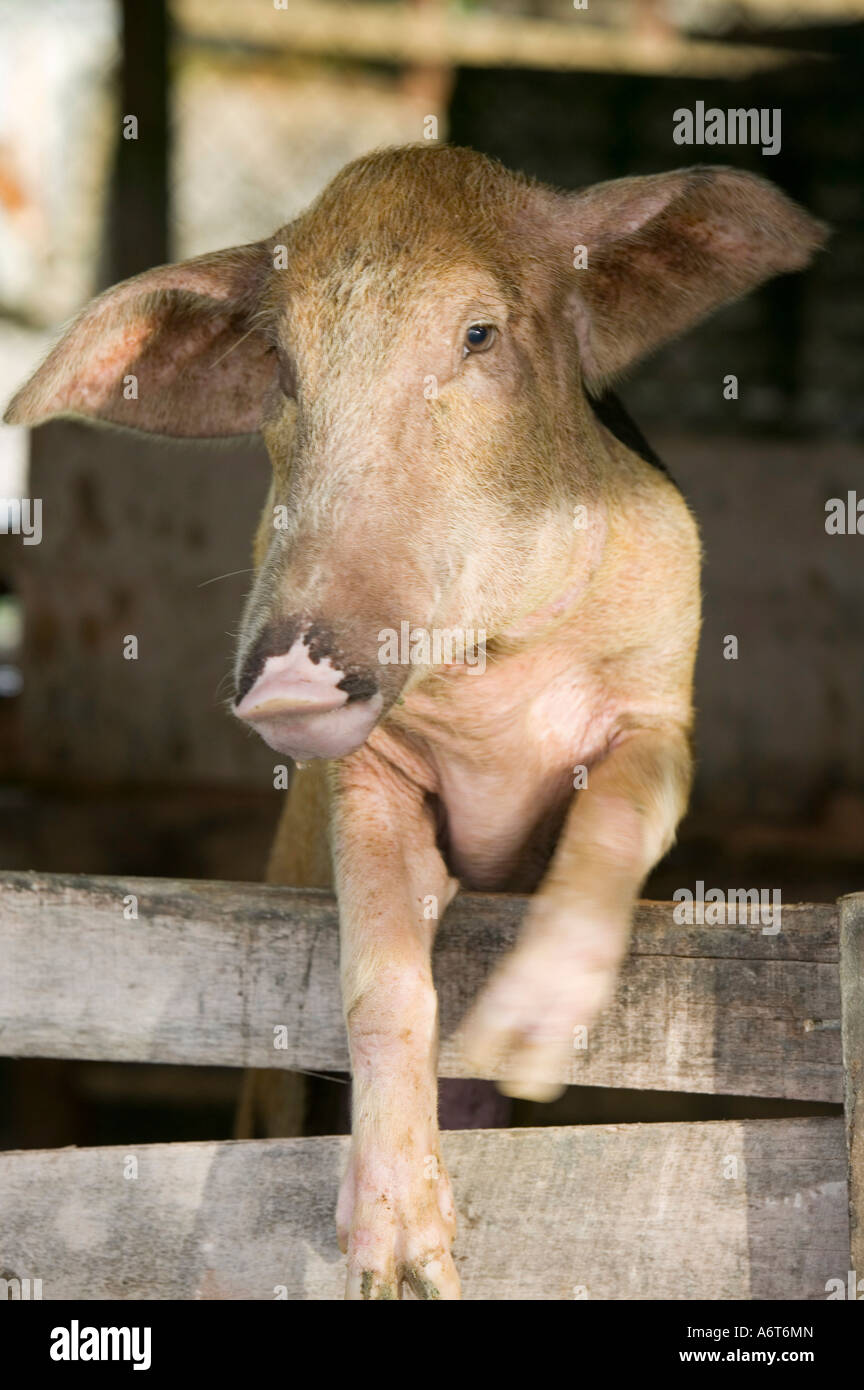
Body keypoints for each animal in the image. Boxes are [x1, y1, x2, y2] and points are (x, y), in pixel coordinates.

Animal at [5, 144, 825, 1299]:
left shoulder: (662, 707)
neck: (493, 675)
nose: (288, 675)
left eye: (478, 335)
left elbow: (616, 819)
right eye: (283, 364)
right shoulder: (365, 778)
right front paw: (402, 1268)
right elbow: (384, 976)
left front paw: (521, 1045)